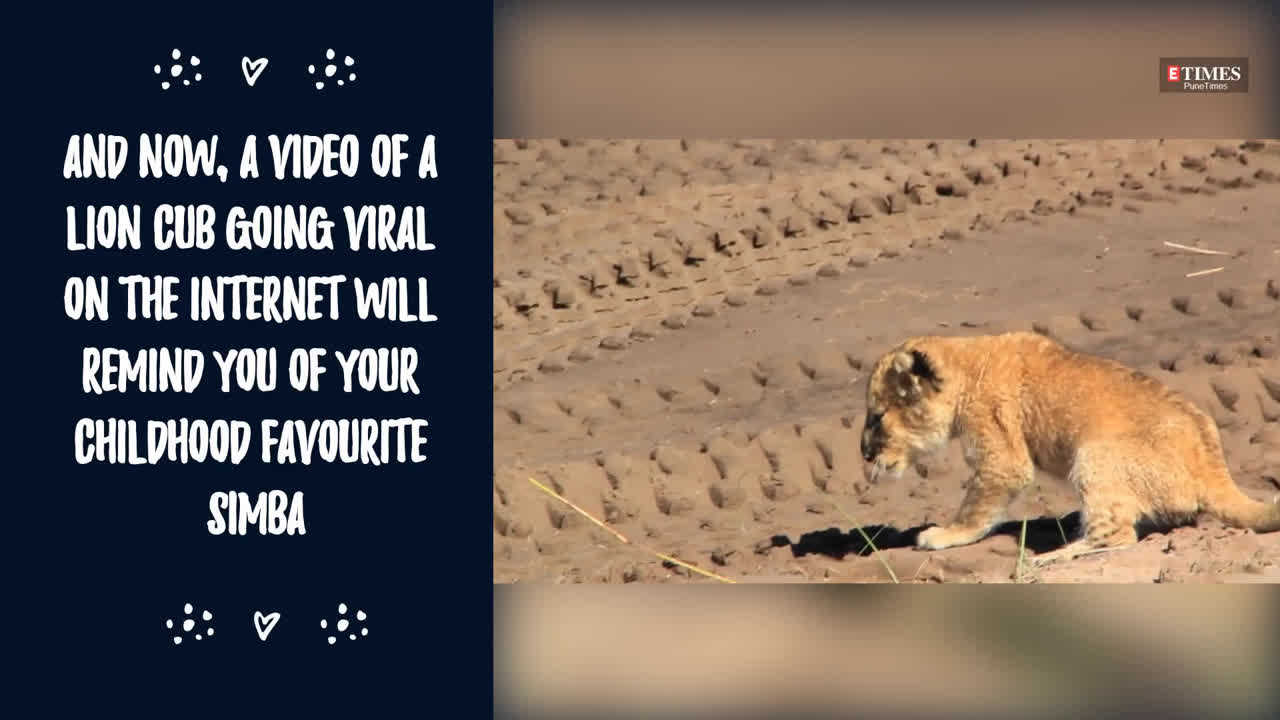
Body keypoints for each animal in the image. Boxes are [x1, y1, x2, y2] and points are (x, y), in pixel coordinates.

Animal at [859, 331, 1279, 563]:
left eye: (876, 417)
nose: (864, 454)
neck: (968, 362)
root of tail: (1214, 467)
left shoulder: (1002, 456)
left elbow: (976, 507)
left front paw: (943, 535)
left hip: (1095, 455)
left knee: (1118, 536)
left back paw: (1052, 557)